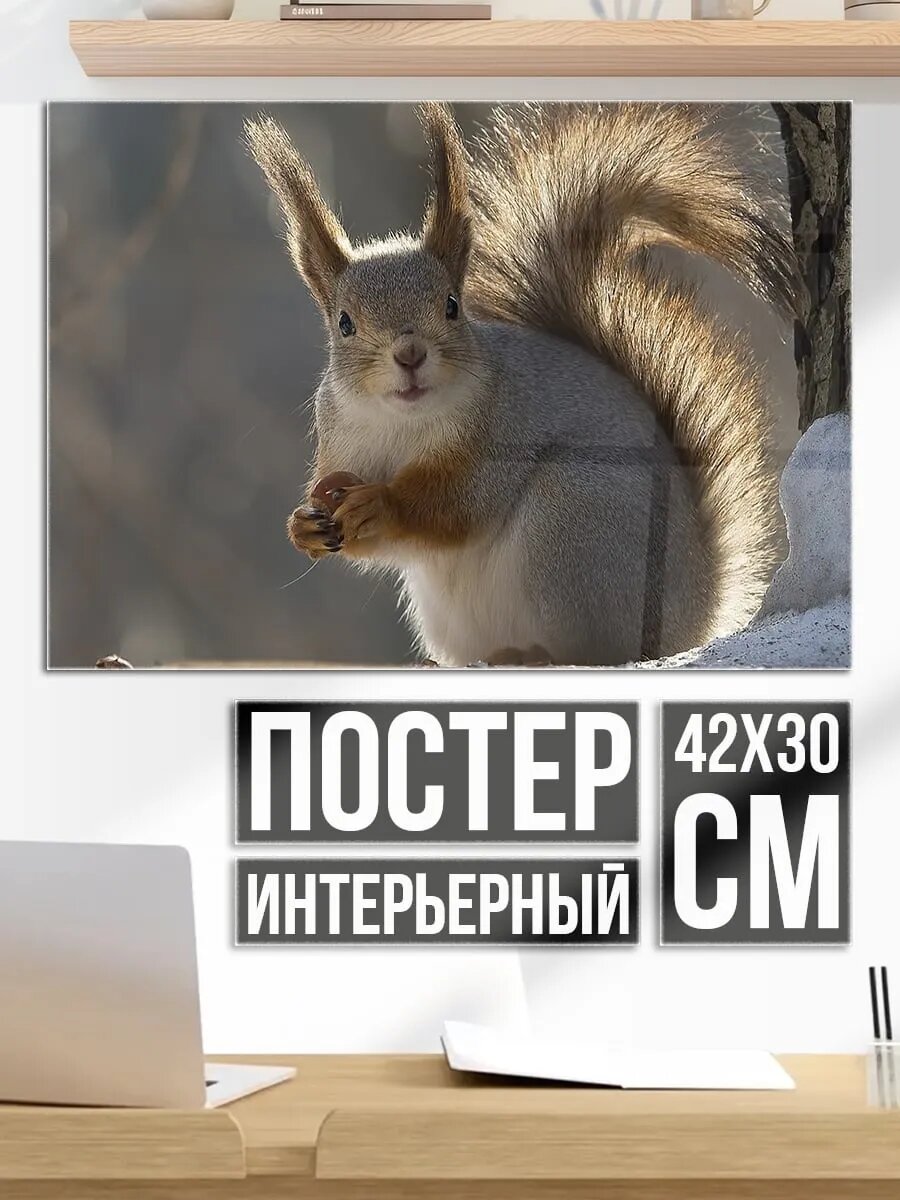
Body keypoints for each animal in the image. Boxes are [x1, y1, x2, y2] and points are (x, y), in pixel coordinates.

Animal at [246, 103, 799, 667]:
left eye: (452, 305)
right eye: (344, 323)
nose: (409, 354)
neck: (403, 423)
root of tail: (696, 613)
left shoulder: (502, 431)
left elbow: (457, 507)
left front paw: (382, 504)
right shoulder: (342, 442)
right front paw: (303, 525)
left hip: (572, 520)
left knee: (599, 649)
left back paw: (533, 654)